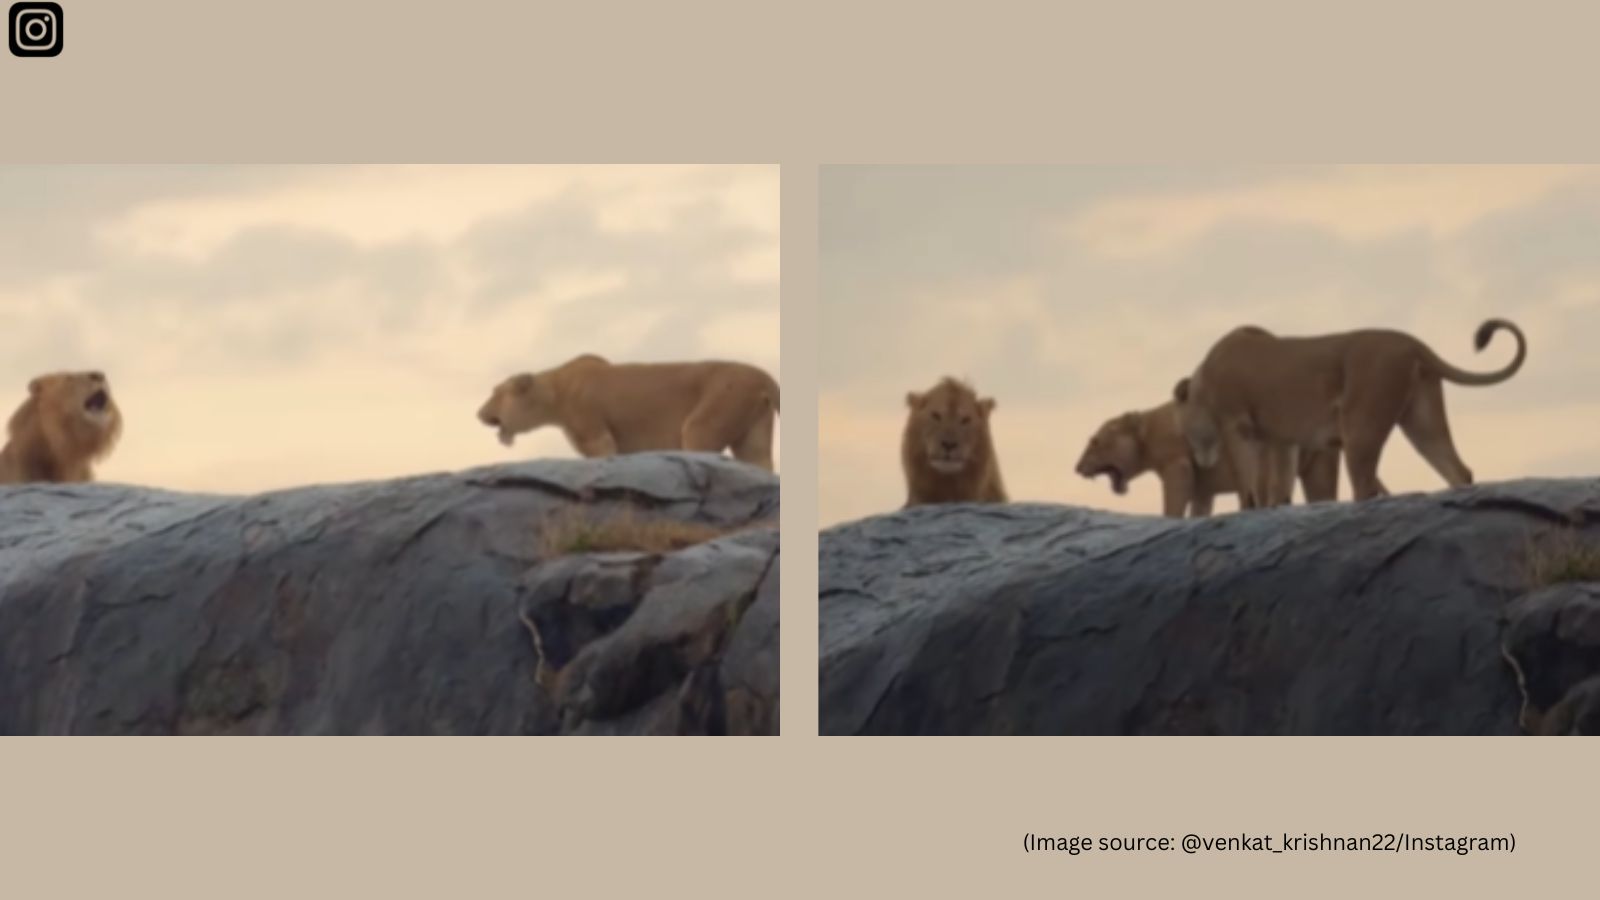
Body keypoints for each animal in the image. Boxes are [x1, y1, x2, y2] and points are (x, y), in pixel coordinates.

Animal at [477, 354, 780, 471]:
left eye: (495, 392)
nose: (479, 414)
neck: (557, 390)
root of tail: (766, 379)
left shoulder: (594, 429)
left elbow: (603, 452)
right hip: (754, 427)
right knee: (760, 459)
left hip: (713, 410)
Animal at [1075, 400, 1341, 516]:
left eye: (1094, 441)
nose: (1077, 467)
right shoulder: (1203, 483)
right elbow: (1201, 503)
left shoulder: (1175, 456)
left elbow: (1176, 491)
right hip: (1318, 450)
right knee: (1320, 482)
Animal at [1174, 319, 1526, 504]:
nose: (1200, 456)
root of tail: (1411, 343)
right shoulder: (1281, 440)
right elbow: (1277, 488)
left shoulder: (1237, 425)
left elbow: (1249, 487)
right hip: (1422, 419)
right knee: (1458, 470)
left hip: (1361, 426)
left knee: (1365, 487)